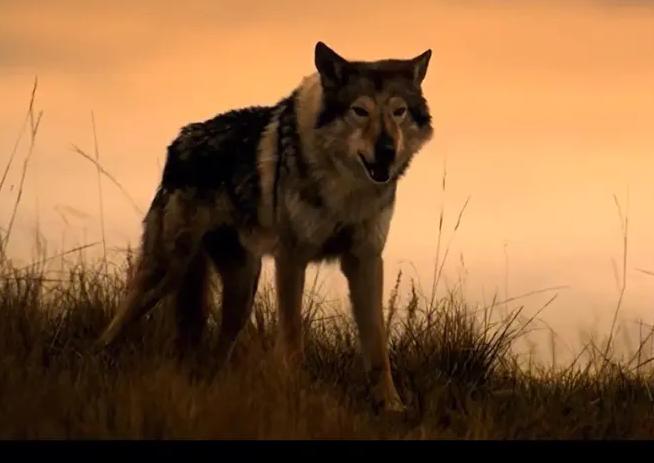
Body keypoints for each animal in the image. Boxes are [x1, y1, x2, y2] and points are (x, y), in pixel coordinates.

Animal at [98, 42, 433, 412]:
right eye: (360, 111)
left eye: (399, 112)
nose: (386, 150)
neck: (345, 188)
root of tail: (179, 143)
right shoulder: (292, 259)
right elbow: (292, 337)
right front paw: (296, 393)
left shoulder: (366, 260)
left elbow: (376, 345)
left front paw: (391, 405)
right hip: (167, 271)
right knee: (118, 321)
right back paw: (99, 361)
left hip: (241, 292)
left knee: (215, 353)